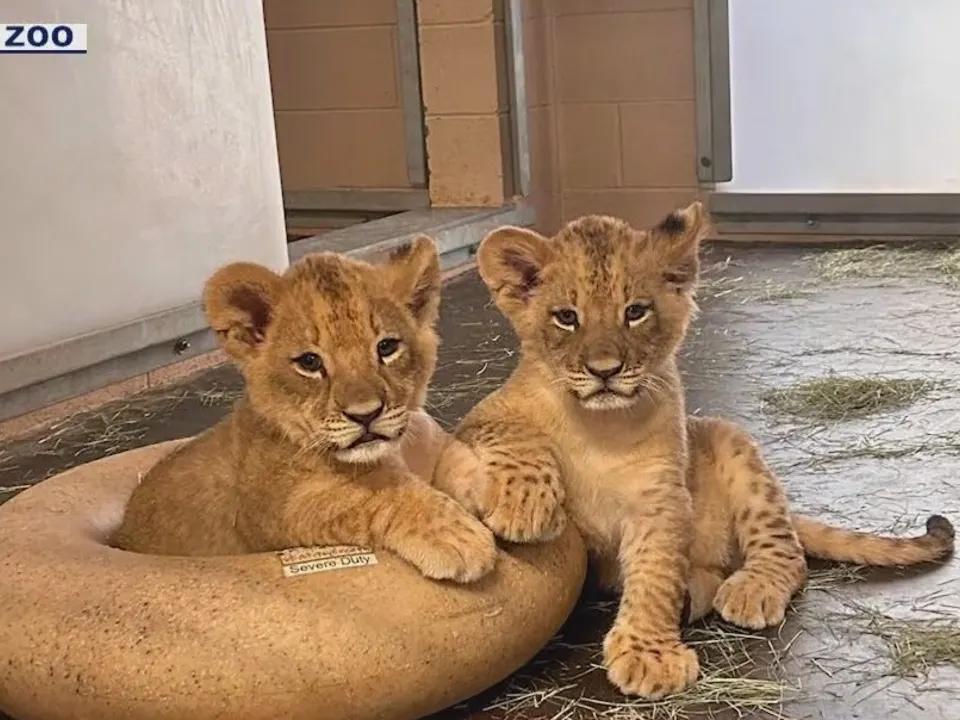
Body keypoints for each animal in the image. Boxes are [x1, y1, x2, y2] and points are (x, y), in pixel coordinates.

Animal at [113, 238, 497, 584]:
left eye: (387, 347)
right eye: (310, 362)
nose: (365, 415)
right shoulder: (279, 510)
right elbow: (372, 493)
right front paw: (458, 536)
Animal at [440, 202, 955, 698]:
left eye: (635, 311)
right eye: (566, 317)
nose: (605, 371)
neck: (598, 424)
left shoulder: (662, 497)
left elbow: (656, 574)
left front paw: (649, 656)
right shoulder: (480, 417)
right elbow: (513, 433)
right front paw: (524, 506)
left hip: (733, 445)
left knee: (788, 554)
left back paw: (748, 589)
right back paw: (695, 593)